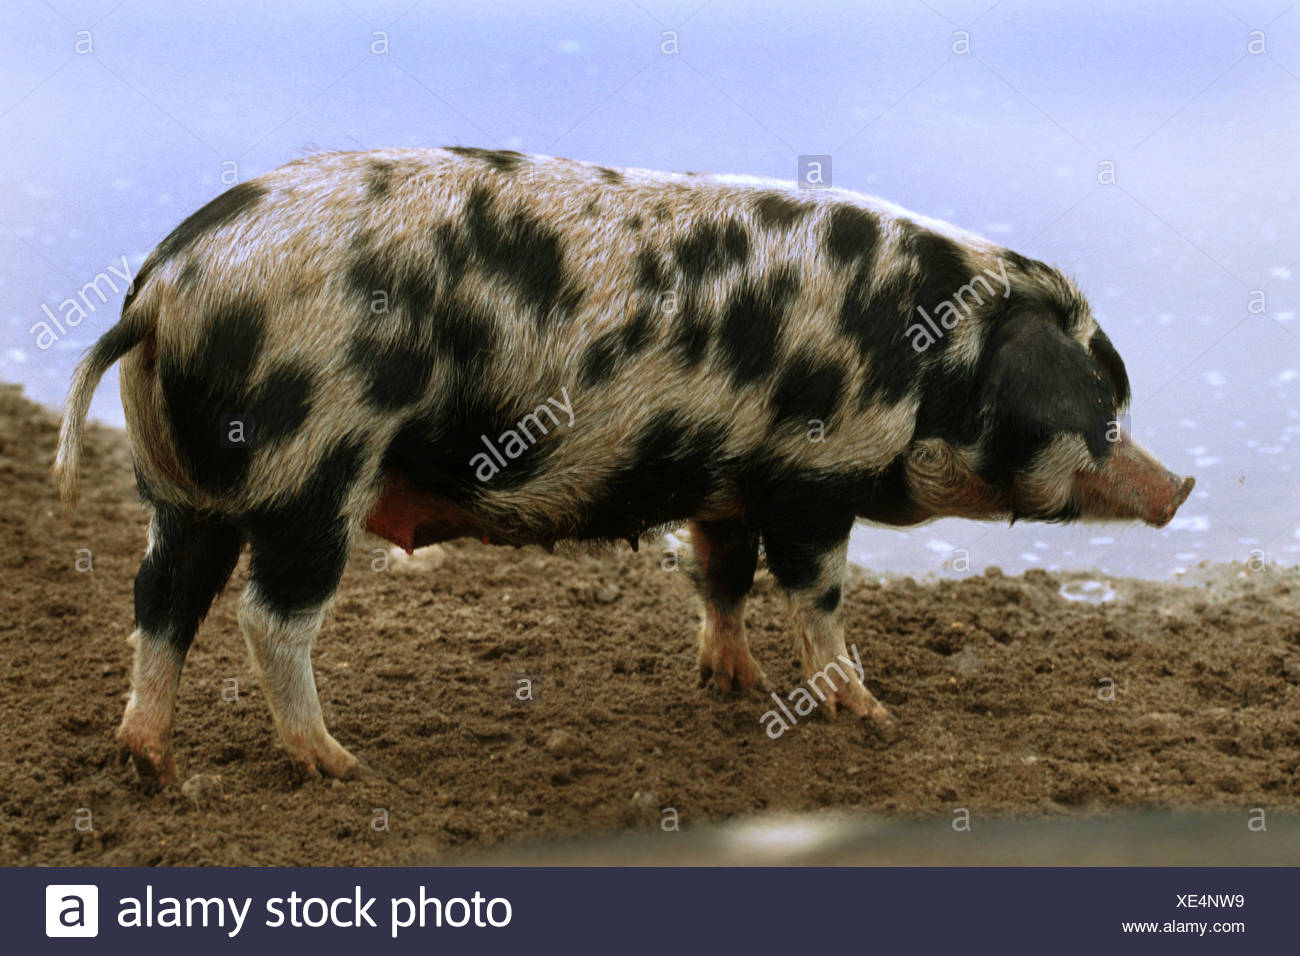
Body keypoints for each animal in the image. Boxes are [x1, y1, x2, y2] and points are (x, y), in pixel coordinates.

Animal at [55, 146, 1194, 784]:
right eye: (1101, 408)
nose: (1181, 486)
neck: (924, 359)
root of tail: (164, 285)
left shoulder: (731, 480)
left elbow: (721, 575)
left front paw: (731, 683)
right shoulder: (816, 469)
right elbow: (816, 592)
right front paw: (868, 711)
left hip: (182, 485)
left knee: (162, 597)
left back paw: (150, 762)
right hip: (315, 461)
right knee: (266, 614)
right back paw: (339, 766)